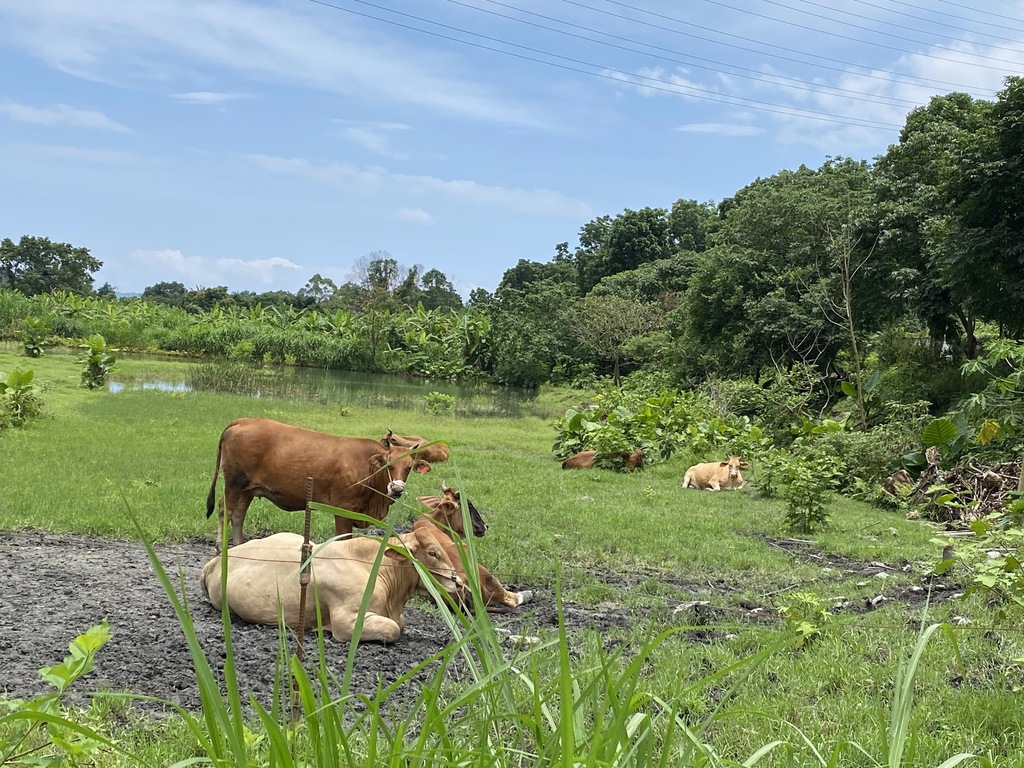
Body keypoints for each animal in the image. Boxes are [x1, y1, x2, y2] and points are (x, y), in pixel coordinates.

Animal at [206, 418, 427, 547]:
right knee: (225, 510)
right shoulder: (343, 510)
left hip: (248, 489)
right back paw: (220, 547)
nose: (397, 489)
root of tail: (243, 421)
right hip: (234, 484)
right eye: (389, 465)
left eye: (409, 467)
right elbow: (343, 540)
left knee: (238, 516)